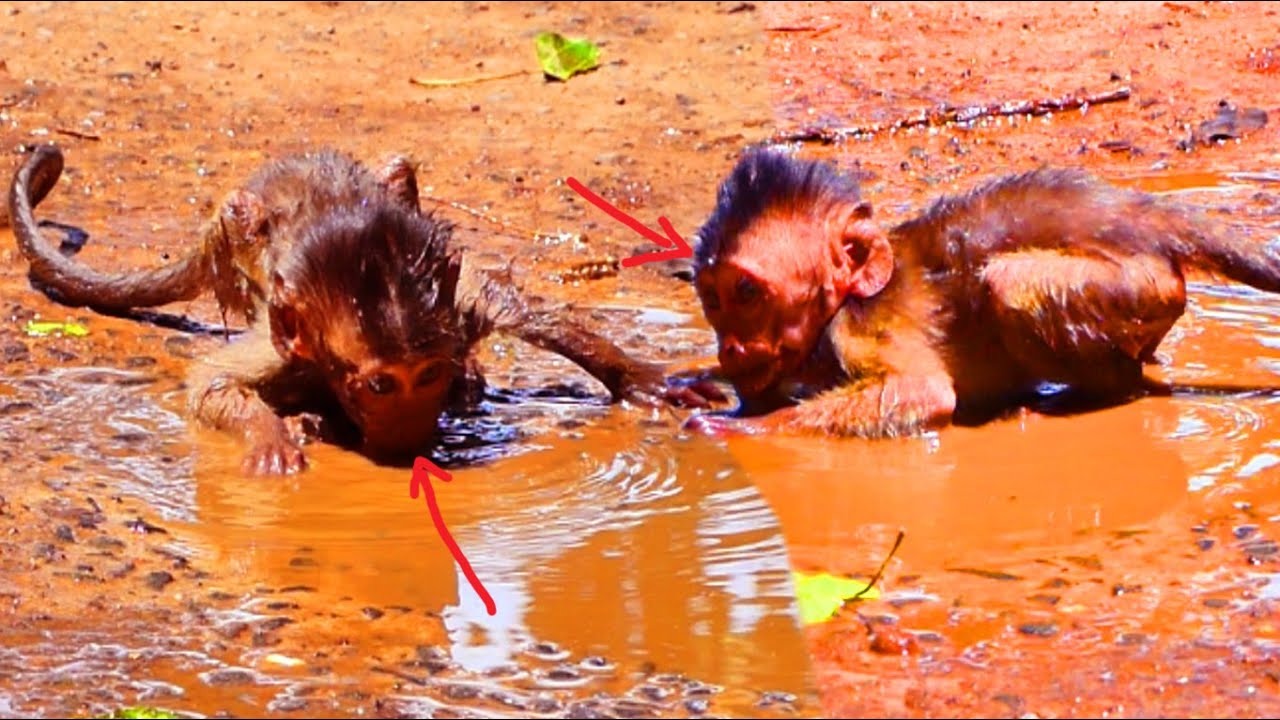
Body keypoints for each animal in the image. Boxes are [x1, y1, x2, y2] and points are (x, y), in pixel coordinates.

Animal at [10, 144, 716, 475]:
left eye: (423, 376)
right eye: (381, 386)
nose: (408, 434)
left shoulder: (461, 310)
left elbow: (539, 318)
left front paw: (642, 378)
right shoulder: (285, 349)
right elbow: (211, 384)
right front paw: (273, 436)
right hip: (235, 237)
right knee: (245, 217)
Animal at [684, 146, 1280, 438]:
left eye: (747, 291)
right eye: (713, 299)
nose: (729, 345)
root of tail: (1139, 215)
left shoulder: (860, 327)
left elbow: (923, 395)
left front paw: (738, 428)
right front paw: (693, 387)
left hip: (1140, 286)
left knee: (1007, 285)